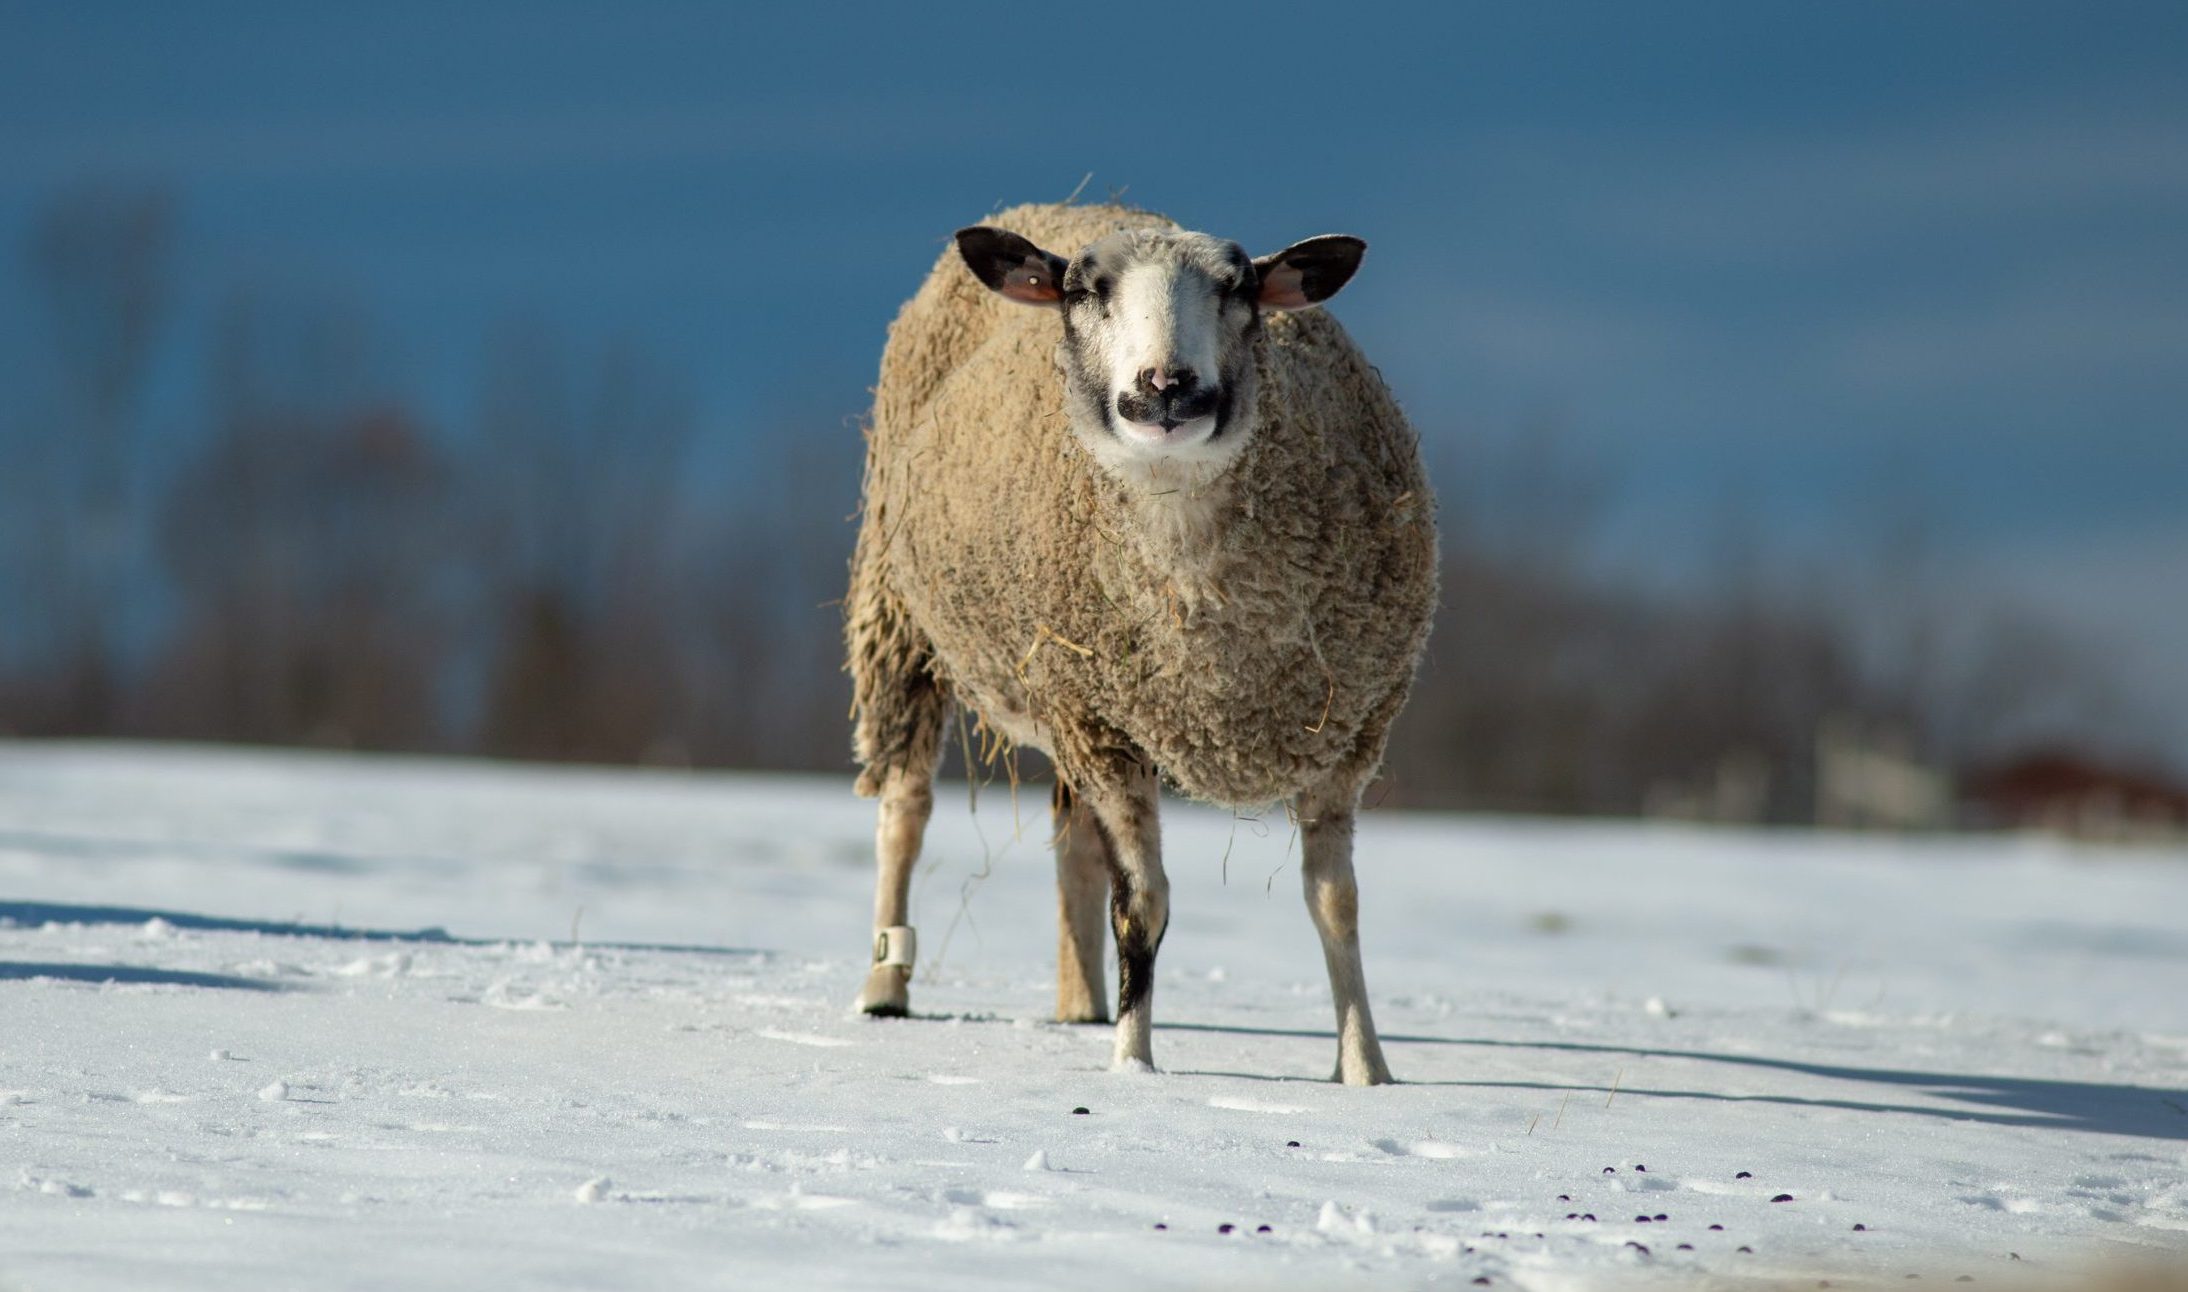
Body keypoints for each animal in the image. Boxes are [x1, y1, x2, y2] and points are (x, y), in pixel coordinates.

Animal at [844, 202, 1437, 1084]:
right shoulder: (1104, 728)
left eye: (1239, 288)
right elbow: (1144, 902)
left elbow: (1337, 903)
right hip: (904, 614)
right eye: (1083, 292)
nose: (1166, 388)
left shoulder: (1349, 730)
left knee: (1071, 845)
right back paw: (886, 986)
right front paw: (1135, 1067)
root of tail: (1049, 204)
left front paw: (1367, 1071)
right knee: (905, 807)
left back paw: (1082, 1003)